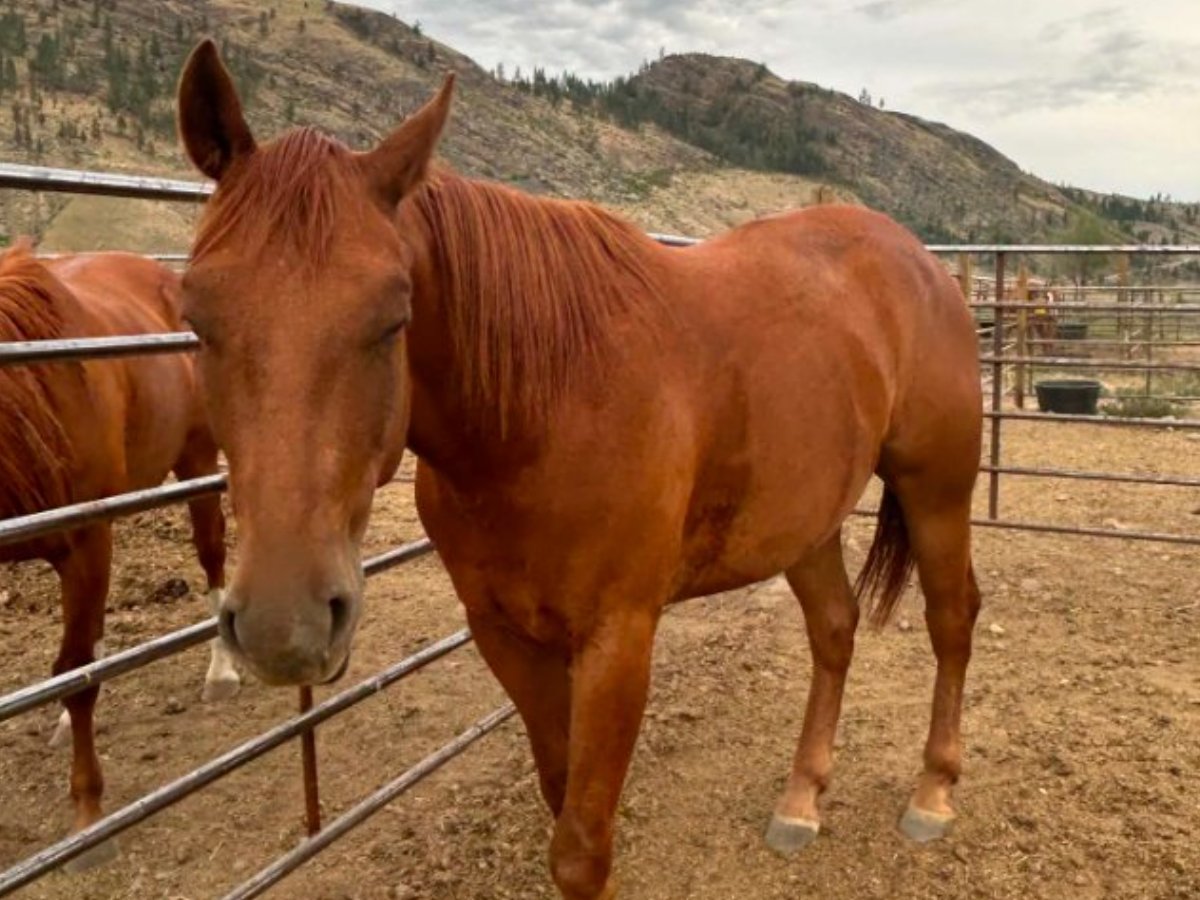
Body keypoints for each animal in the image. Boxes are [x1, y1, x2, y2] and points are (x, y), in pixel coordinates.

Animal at [0, 241, 239, 868]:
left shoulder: (86, 541)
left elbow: (78, 674)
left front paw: (88, 817)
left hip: (198, 460)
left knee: (212, 553)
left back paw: (223, 670)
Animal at [176, 40, 983, 899]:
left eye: (394, 316)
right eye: (195, 317)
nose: (282, 626)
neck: (543, 412)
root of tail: (922, 262)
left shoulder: (617, 642)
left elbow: (582, 847)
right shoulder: (505, 635)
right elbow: (561, 796)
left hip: (937, 489)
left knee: (951, 618)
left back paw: (933, 792)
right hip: (807, 518)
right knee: (834, 629)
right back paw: (801, 801)